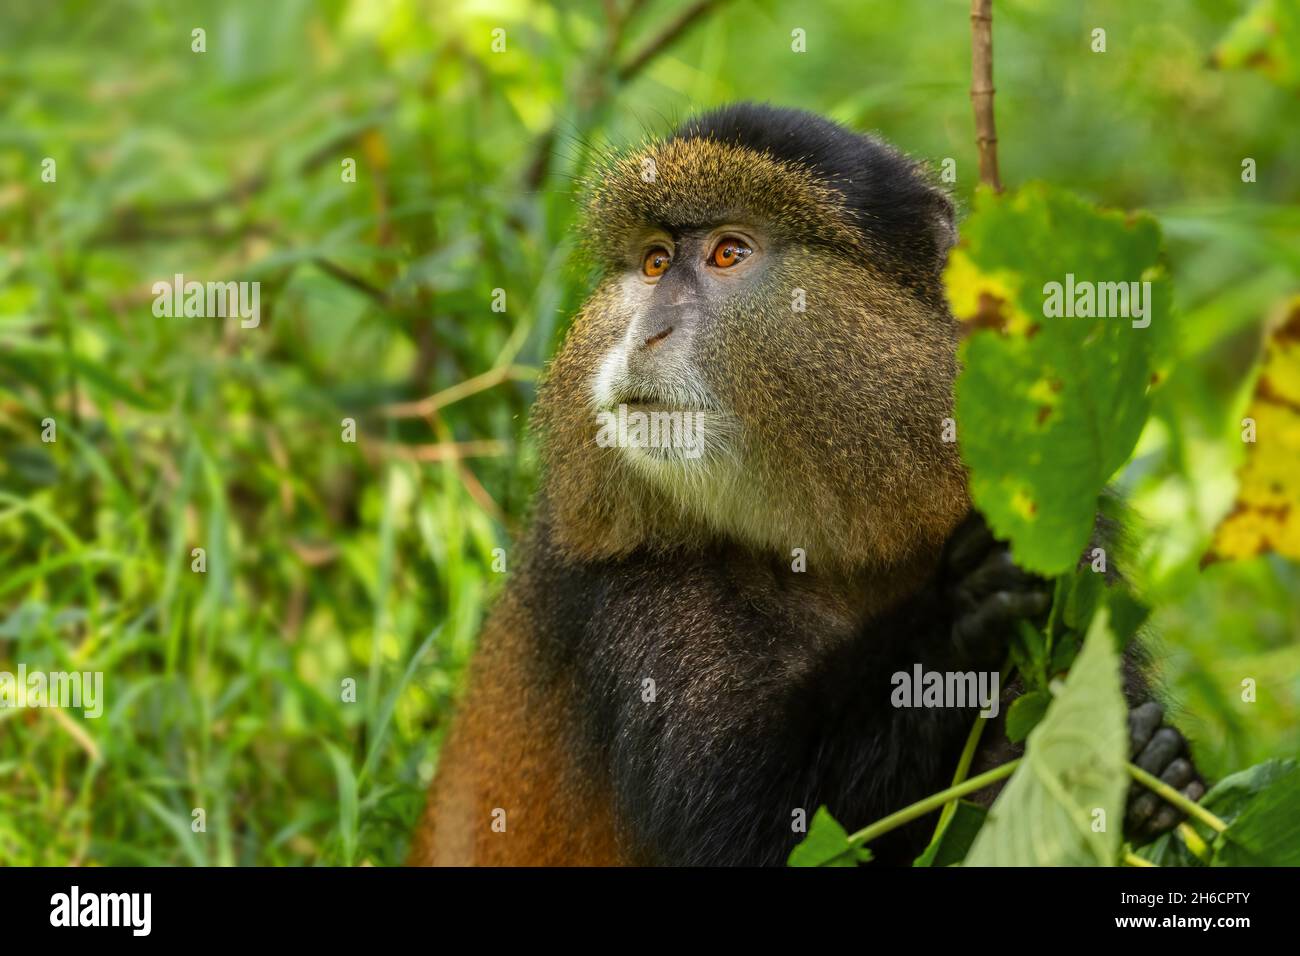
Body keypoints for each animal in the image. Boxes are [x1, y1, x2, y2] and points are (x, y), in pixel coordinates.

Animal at [409, 103, 1204, 867]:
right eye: (655, 261)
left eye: (729, 252)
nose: (644, 333)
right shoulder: (636, 587)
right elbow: (753, 826)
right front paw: (958, 604)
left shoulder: (1069, 533)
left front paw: (1152, 761)